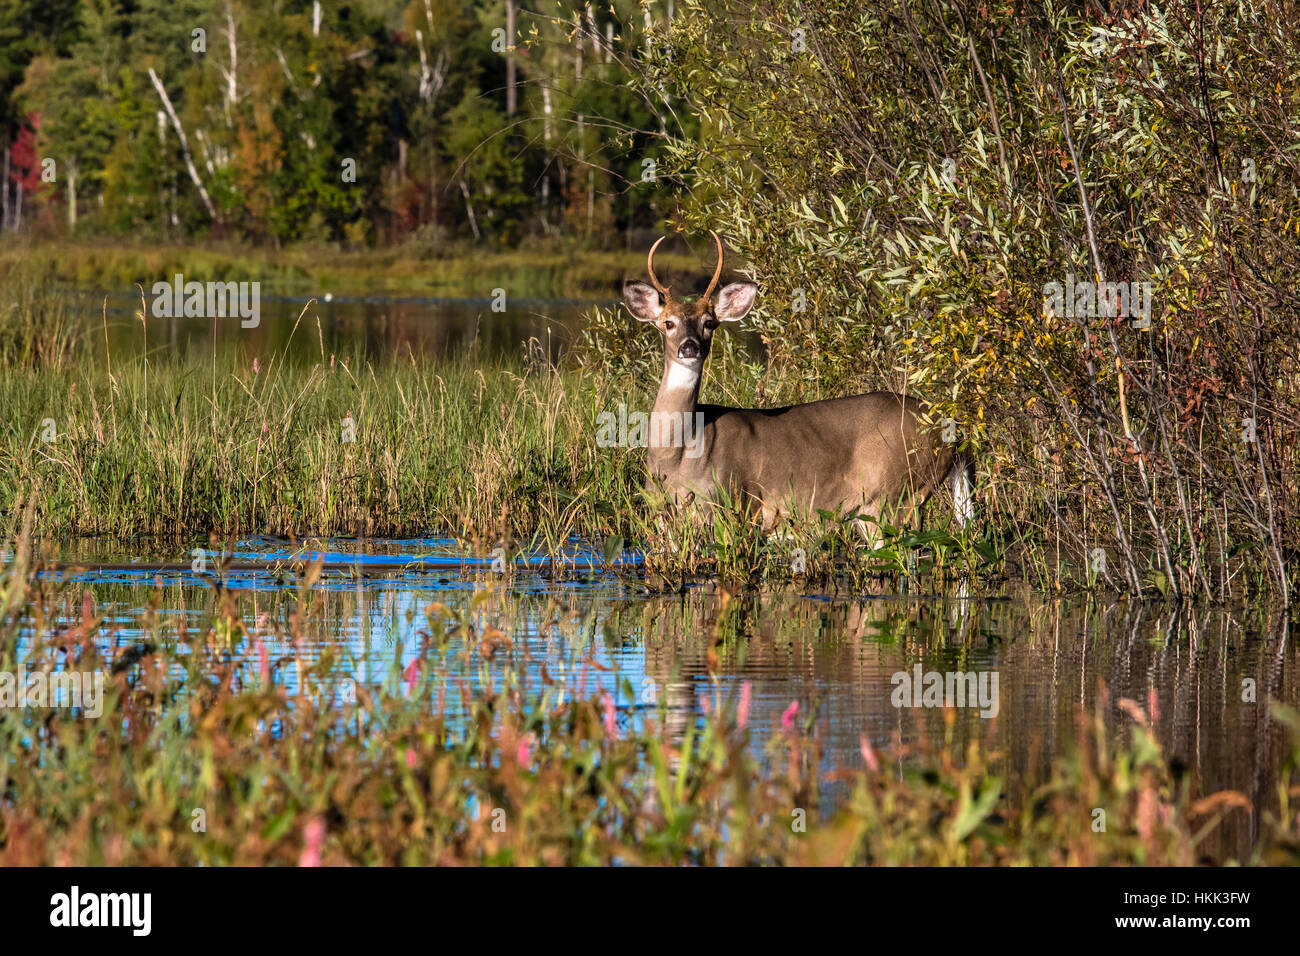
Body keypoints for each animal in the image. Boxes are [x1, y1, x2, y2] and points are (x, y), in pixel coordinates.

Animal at [622, 231, 975, 541]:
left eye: (709, 323)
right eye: (667, 323)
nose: (689, 347)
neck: (678, 453)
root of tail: (954, 430)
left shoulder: (730, 503)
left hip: (896, 495)